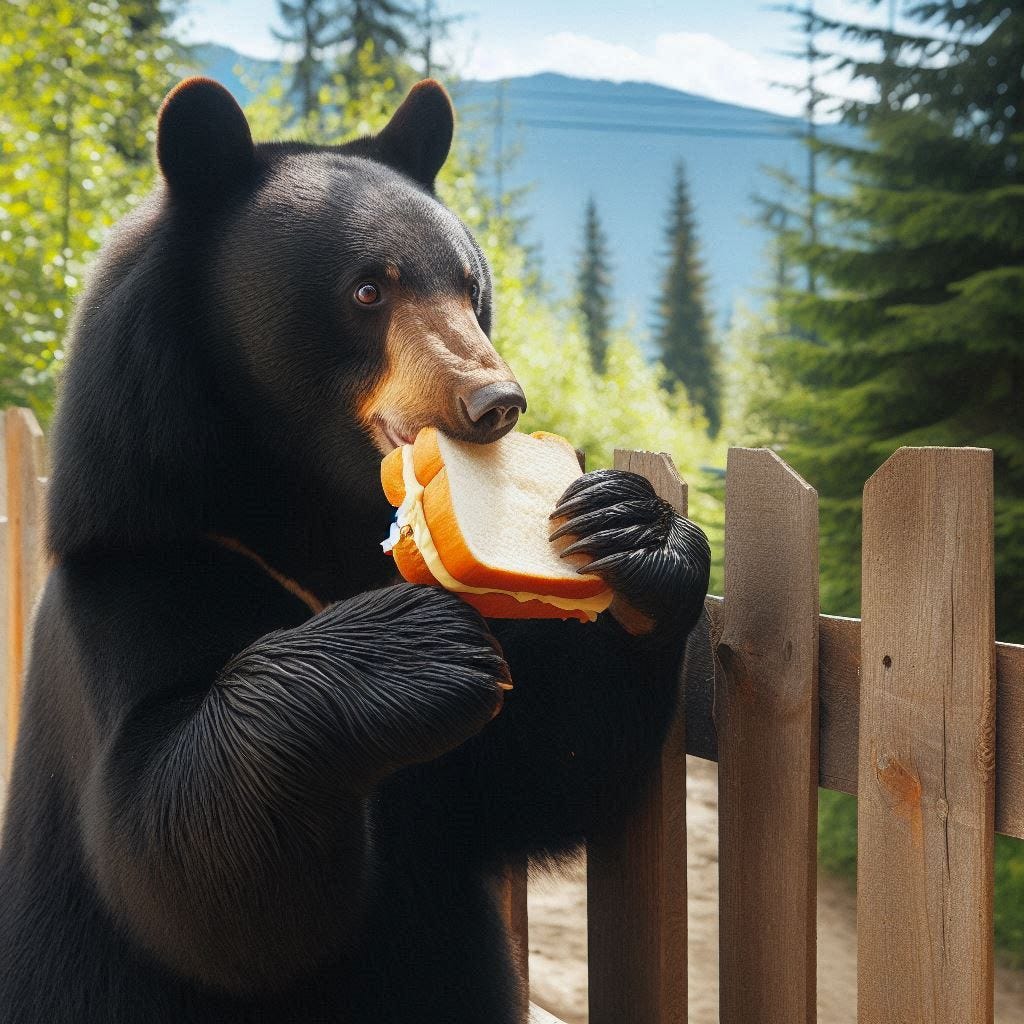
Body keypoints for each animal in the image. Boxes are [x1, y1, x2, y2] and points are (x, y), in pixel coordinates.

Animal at [0, 77, 710, 1023]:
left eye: (470, 285)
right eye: (369, 291)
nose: (495, 401)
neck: (313, 514)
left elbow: (549, 763)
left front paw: (633, 529)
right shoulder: (140, 571)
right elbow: (181, 863)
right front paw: (404, 650)